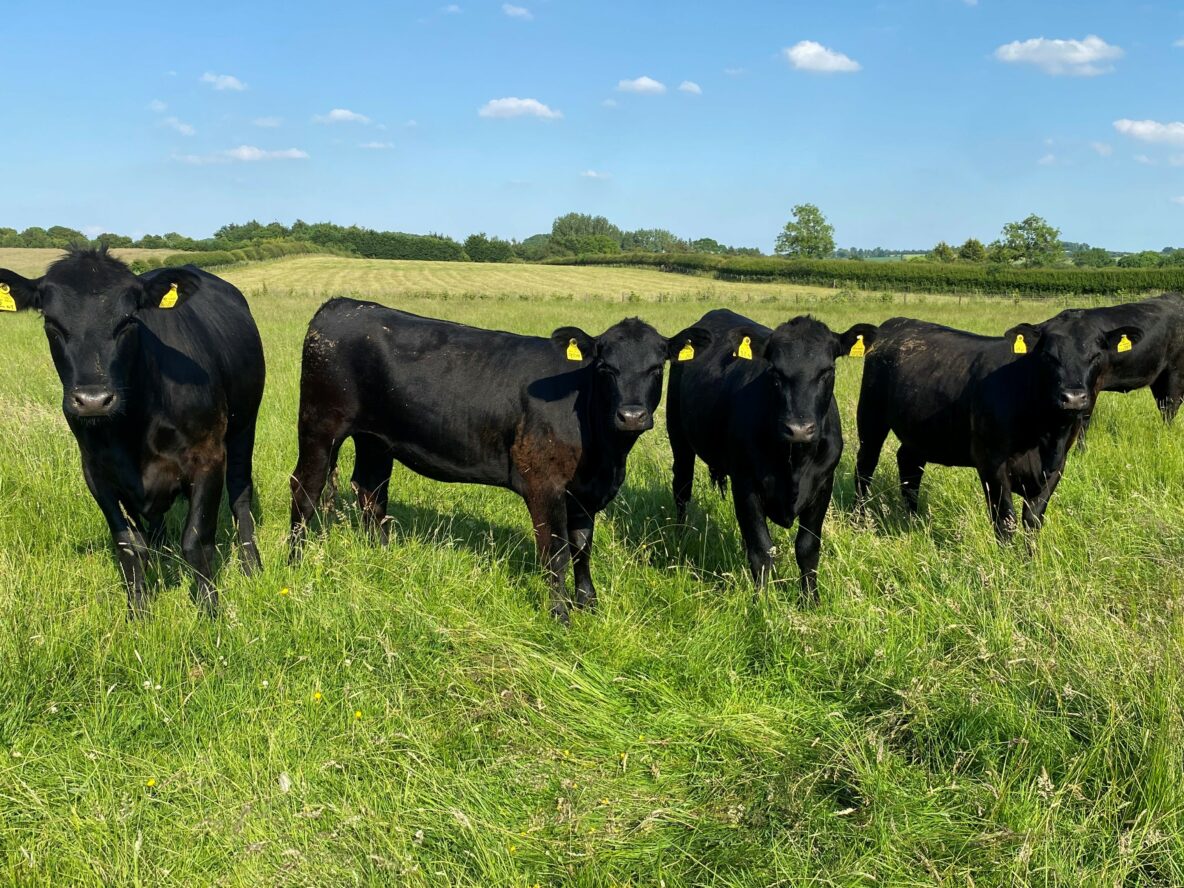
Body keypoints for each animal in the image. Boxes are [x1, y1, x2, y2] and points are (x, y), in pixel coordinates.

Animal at [0, 248, 265, 616]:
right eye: (51, 323)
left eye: (128, 321)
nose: (93, 400)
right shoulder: (96, 471)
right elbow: (128, 545)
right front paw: (138, 612)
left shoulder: (209, 455)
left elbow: (196, 538)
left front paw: (209, 610)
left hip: (243, 427)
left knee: (240, 495)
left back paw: (251, 564)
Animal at [288, 298, 708, 622]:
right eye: (606, 367)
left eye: (657, 367)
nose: (631, 415)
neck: (607, 455)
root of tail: (341, 305)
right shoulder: (543, 482)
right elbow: (555, 552)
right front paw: (560, 615)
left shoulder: (586, 491)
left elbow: (582, 547)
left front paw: (589, 604)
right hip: (320, 424)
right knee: (305, 490)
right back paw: (294, 564)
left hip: (375, 440)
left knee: (370, 492)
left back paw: (383, 556)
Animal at [666, 309, 877, 598]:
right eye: (775, 373)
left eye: (827, 371)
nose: (799, 429)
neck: (795, 460)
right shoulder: (745, 485)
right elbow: (761, 549)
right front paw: (764, 602)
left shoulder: (824, 485)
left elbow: (807, 548)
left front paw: (810, 600)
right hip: (679, 439)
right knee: (681, 489)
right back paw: (681, 535)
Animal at [854, 314, 1141, 540]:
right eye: (1048, 356)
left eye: (1096, 355)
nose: (1073, 398)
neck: (1047, 436)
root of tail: (895, 324)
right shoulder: (991, 462)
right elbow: (1006, 520)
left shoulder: (1057, 467)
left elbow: (1033, 520)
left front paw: (1029, 563)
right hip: (870, 417)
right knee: (865, 467)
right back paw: (858, 519)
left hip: (919, 431)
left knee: (909, 464)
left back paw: (913, 520)